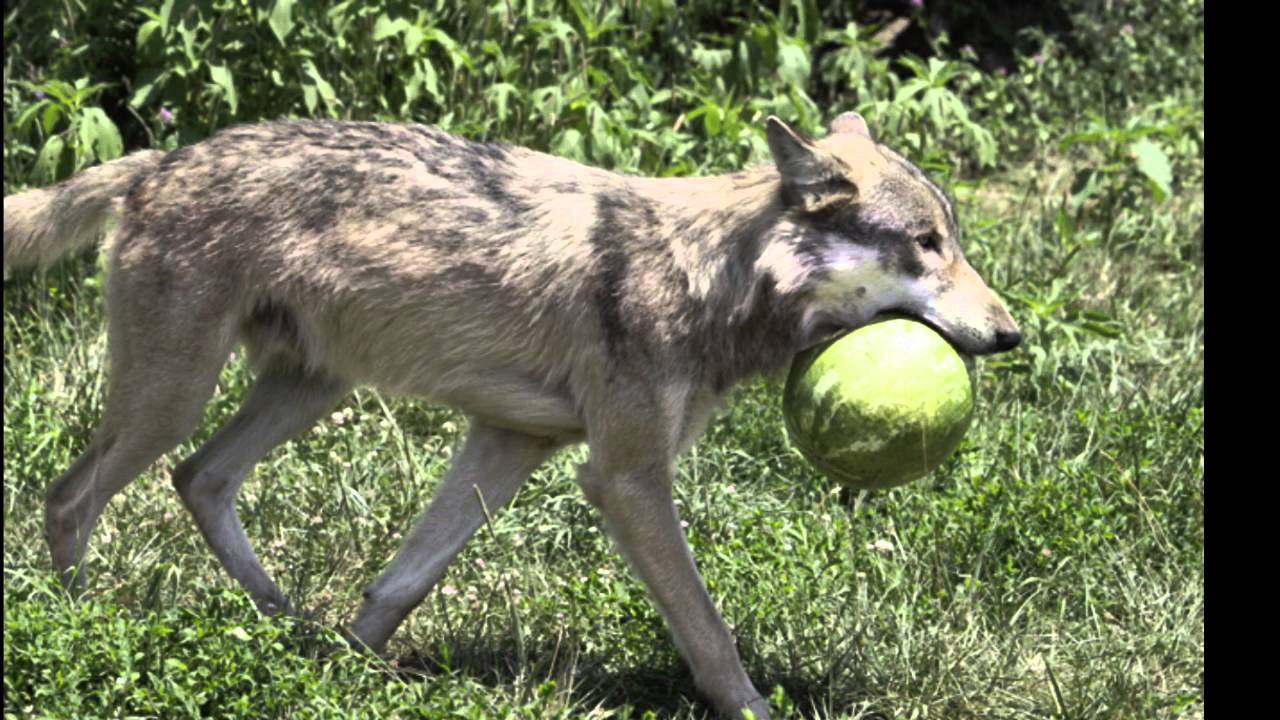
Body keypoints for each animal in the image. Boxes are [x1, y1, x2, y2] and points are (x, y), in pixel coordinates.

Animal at [3, 111, 1020, 719]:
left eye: (955, 240)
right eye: (925, 244)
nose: (1012, 334)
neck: (711, 275)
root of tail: (159, 160)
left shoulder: (511, 442)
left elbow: (403, 581)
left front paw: (354, 671)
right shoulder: (624, 478)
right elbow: (708, 628)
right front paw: (755, 713)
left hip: (303, 391)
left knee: (201, 478)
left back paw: (287, 627)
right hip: (172, 398)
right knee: (69, 497)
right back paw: (87, 628)